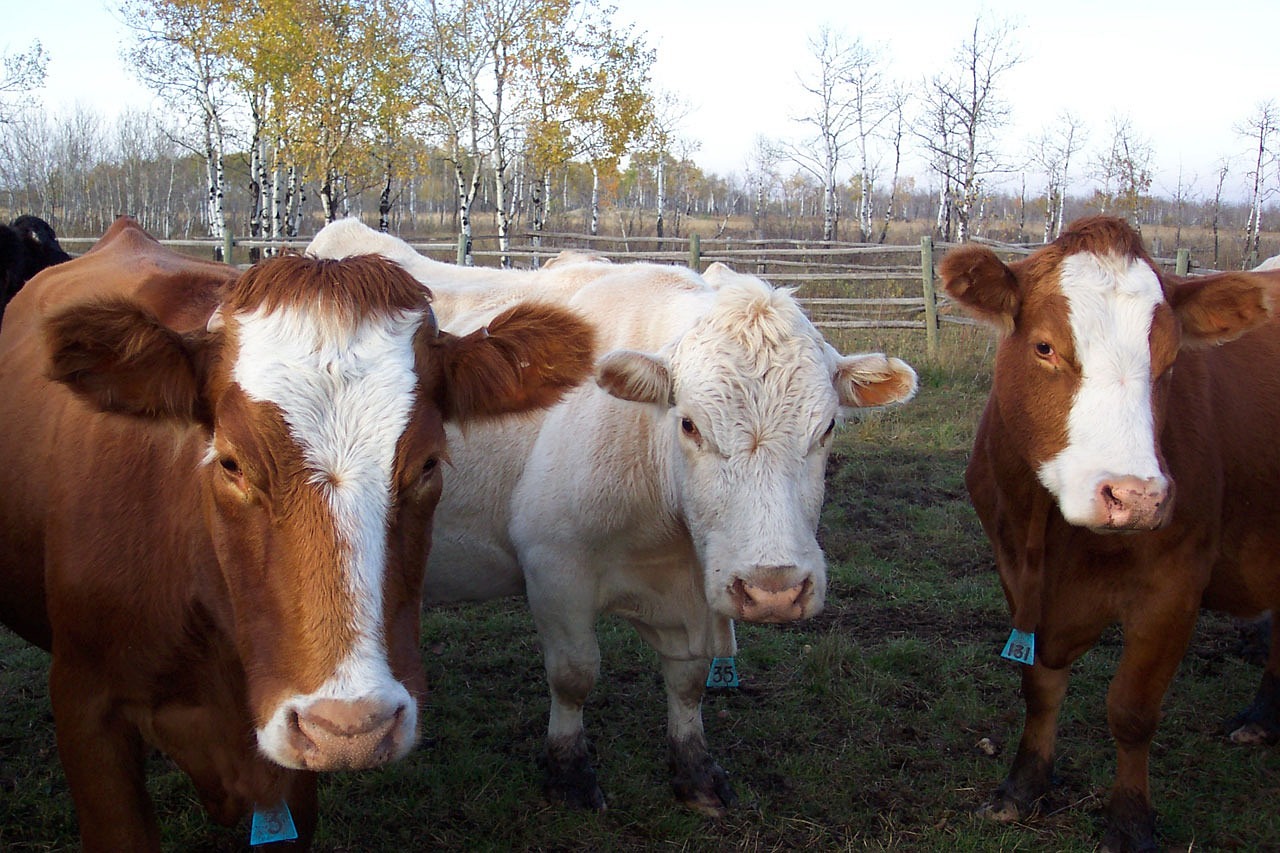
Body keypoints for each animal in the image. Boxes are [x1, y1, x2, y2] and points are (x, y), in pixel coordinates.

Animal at [304, 217, 916, 809]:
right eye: (689, 423)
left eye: (828, 427)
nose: (774, 589)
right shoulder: (555, 567)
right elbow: (575, 674)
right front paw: (569, 772)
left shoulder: (697, 585)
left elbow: (689, 679)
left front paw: (695, 771)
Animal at [936, 216, 1280, 850]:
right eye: (1045, 347)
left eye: (1170, 360)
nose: (1135, 496)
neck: (1054, 539)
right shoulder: (1015, 572)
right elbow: (1038, 685)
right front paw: (1022, 787)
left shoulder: (1174, 587)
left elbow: (1132, 710)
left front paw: (1130, 821)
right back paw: (1262, 718)